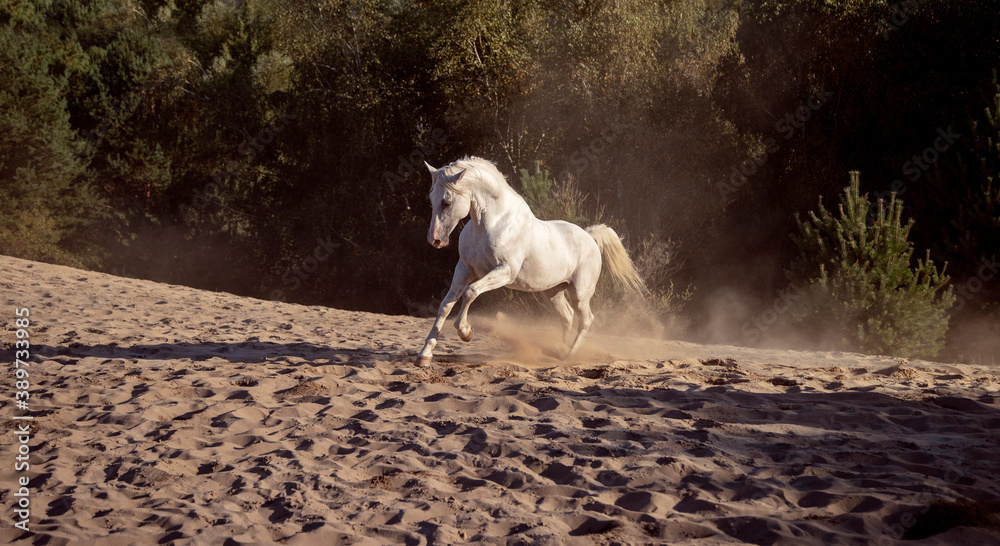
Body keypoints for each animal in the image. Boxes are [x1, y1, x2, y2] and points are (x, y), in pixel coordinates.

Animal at [416, 156, 646, 367]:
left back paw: (568, 356)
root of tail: (590, 236)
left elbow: (470, 292)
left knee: (586, 319)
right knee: (567, 316)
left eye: (446, 202)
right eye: (431, 198)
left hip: (580, 293)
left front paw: (466, 332)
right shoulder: (465, 269)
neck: (491, 224)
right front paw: (424, 355)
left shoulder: (504, 272)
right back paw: (559, 348)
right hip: (553, 292)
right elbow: (445, 305)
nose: (435, 240)